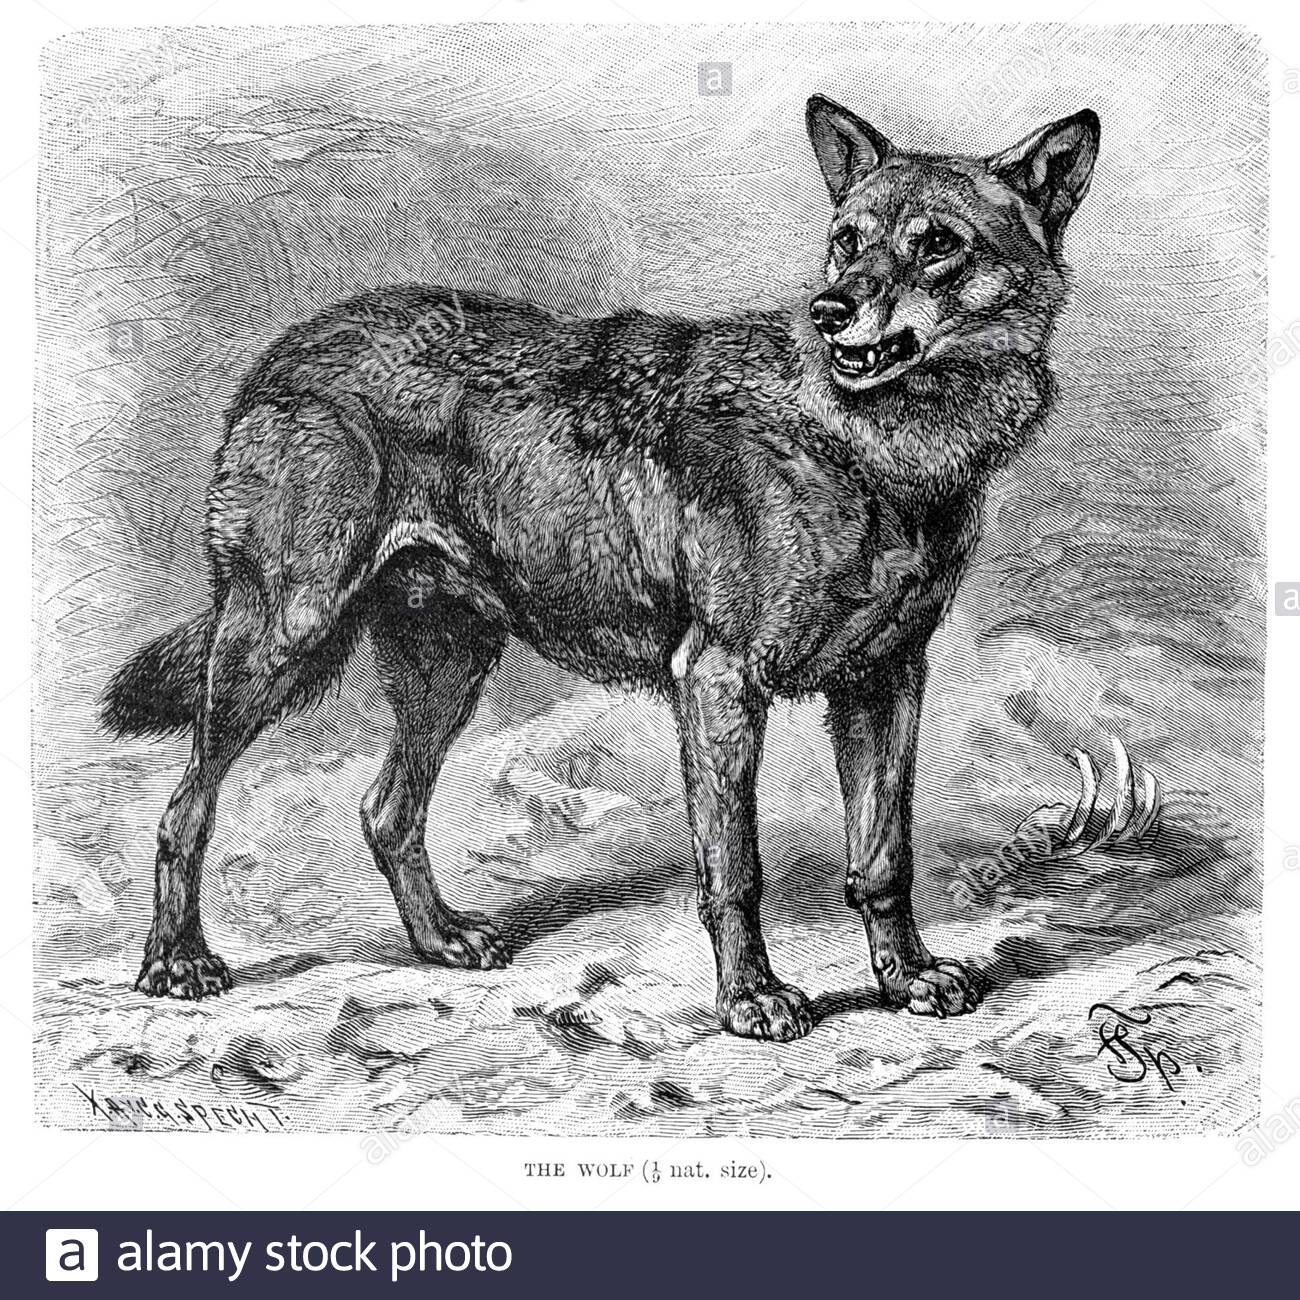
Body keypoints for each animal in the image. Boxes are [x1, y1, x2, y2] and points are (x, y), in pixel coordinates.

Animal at [102, 96, 1099, 1040]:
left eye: (938, 246)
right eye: (846, 241)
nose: (831, 310)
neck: (868, 443)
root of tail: (287, 350)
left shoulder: (886, 683)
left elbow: (883, 857)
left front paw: (905, 977)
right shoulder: (719, 682)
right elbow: (735, 866)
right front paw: (751, 997)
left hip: (445, 664)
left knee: (387, 811)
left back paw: (440, 938)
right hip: (280, 635)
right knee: (186, 810)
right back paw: (177, 963)